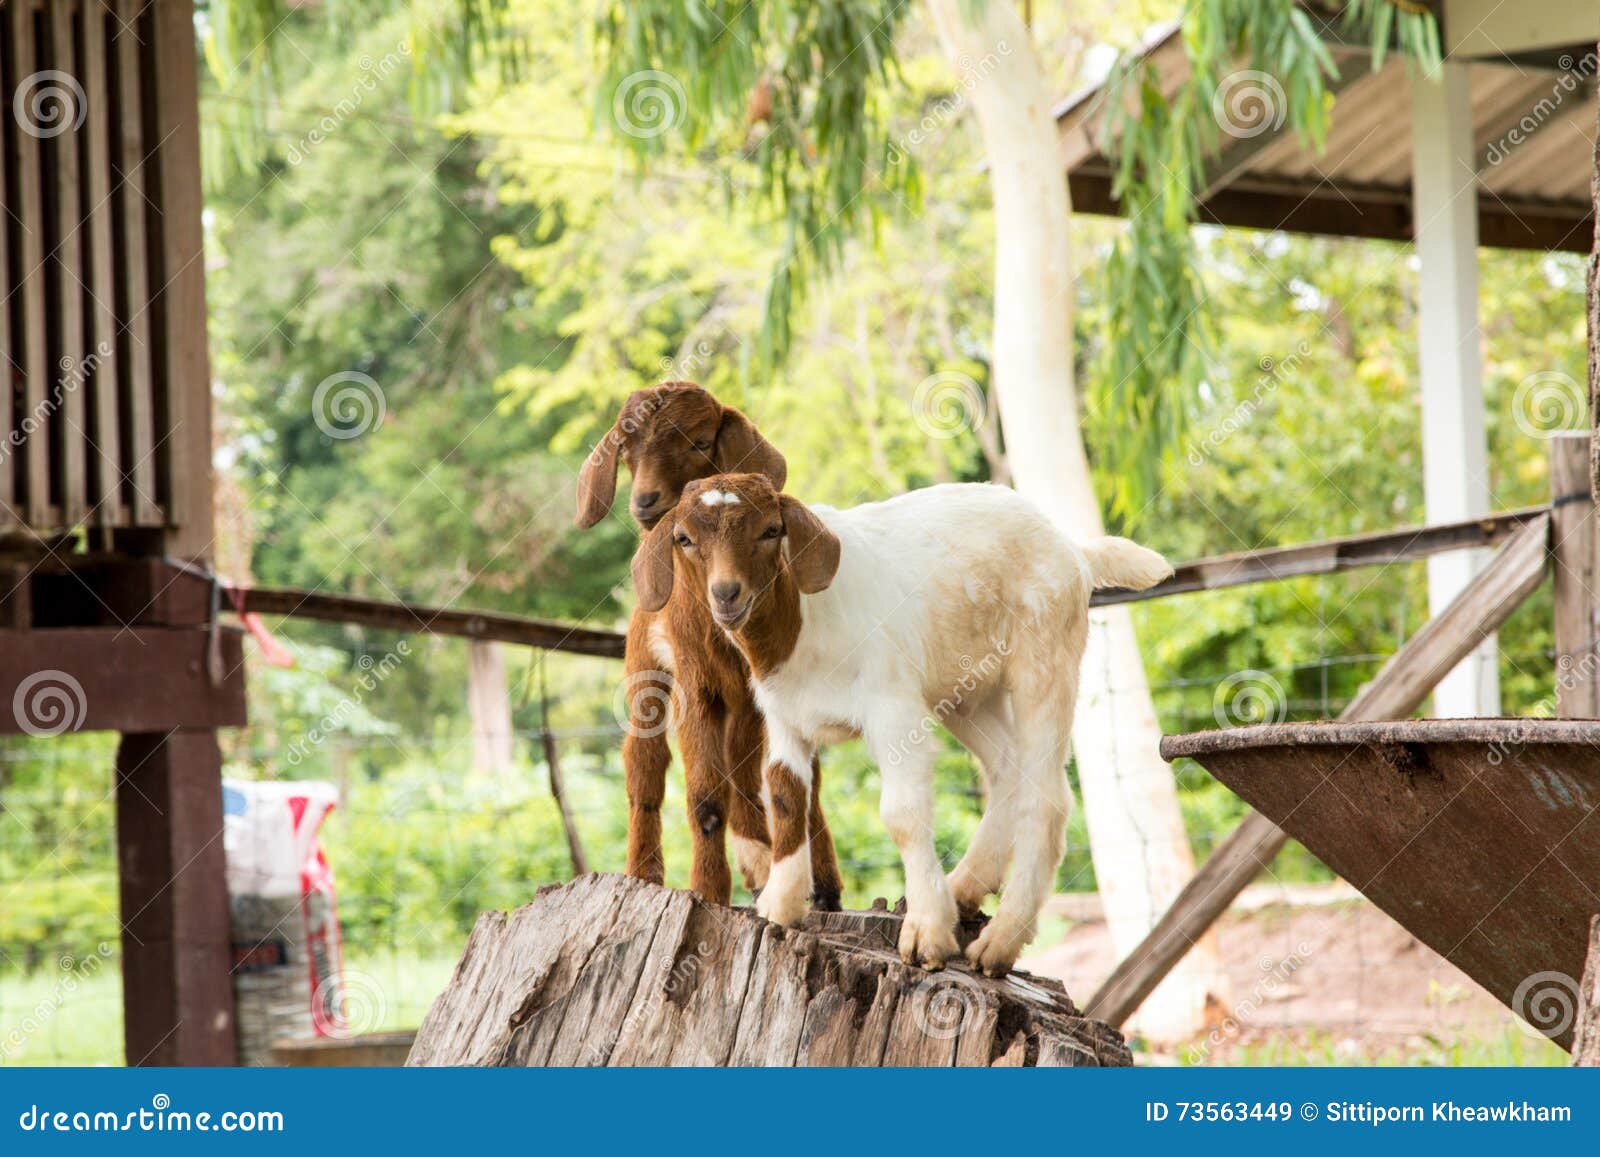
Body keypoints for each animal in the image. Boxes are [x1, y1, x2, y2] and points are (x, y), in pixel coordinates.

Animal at [575, 383, 843, 908]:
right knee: (645, 770)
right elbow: (703, 794)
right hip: (646, 675)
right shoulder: (695, 686)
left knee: (742, 772)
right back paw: (645, 872)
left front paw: (824, 888)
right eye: (625, 446)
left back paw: (760, 861)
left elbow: (804, 782)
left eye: (699, 442)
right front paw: (708, 889)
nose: (645, 500)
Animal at [634, 473, 1173, 974]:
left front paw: (926, 935)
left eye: (771, 530)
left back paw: (998, 942)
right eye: (683, 538)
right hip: (967, 691)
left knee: (1048, 796)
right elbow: (786, 797)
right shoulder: (783, 716)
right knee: (1007, 766)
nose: (727, 594)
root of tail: (1073, 550)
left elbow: (902, 815)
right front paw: (780, 905)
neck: (804, 621)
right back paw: (964, 888)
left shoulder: (891, 707)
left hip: (1045, 657)